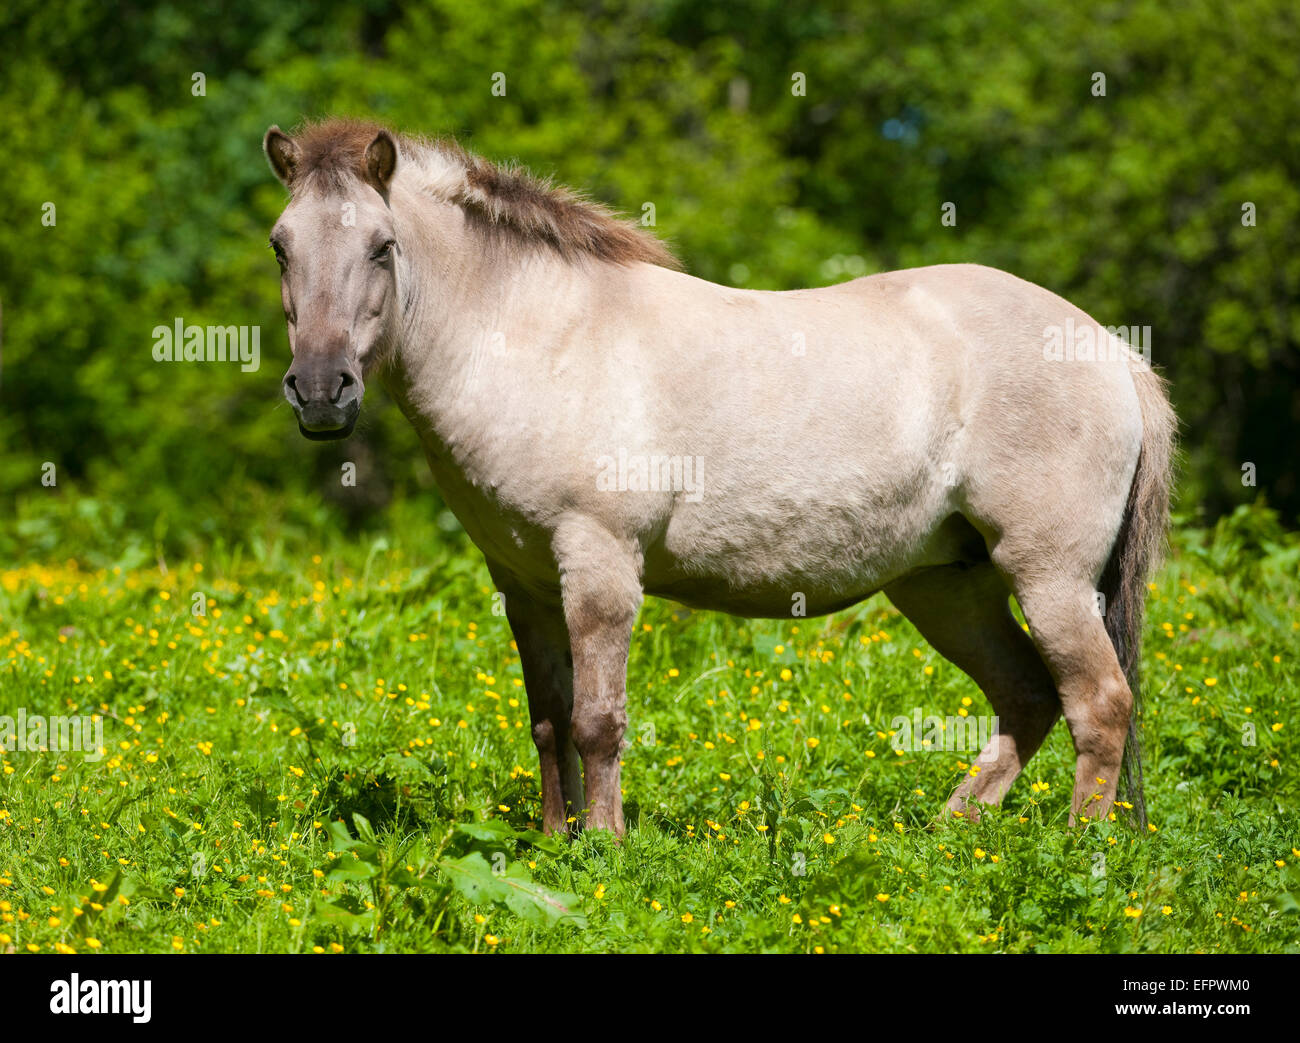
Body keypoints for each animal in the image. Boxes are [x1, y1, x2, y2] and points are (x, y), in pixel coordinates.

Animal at [263, 118, 1175, 837]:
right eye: (281, 245)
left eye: (382, 246)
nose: (321, 390)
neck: (539, 336)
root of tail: (1115, 354)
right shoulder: (522, 582)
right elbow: (548, 720)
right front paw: (555, 843)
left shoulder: (599, 567)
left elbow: (598, 721)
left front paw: (605, 849)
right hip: (948, 585)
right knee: (1028, 698)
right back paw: (949, 836)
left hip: (1048, 576)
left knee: (1100, 703)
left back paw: (1075, 851)